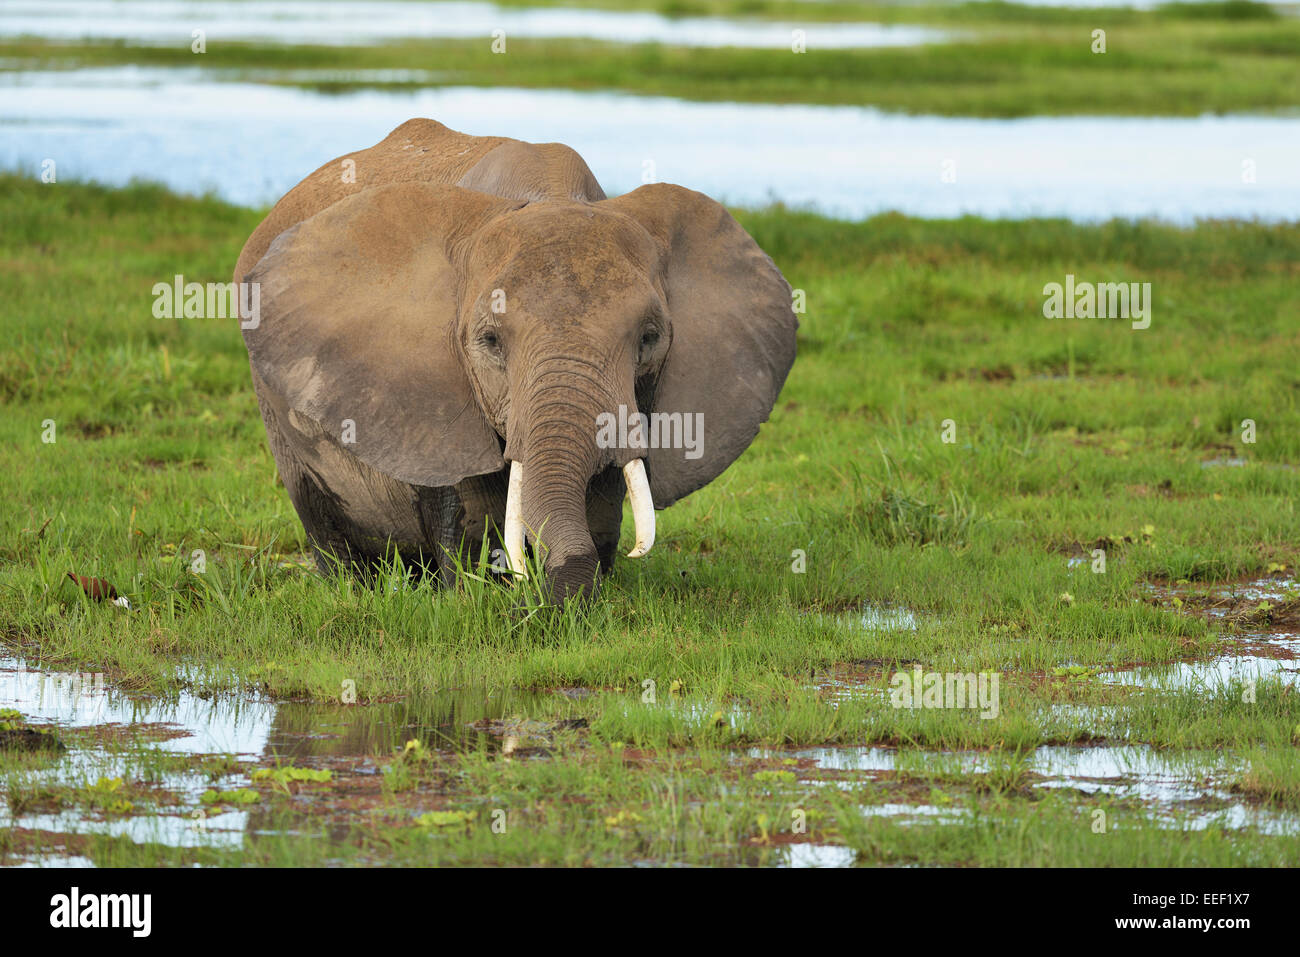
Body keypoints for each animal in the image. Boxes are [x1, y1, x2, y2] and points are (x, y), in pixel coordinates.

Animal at [233, 119, 797, 603]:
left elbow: (603, 503)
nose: (539, 583)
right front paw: (478, 595)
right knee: (326, 528)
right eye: (489, 341)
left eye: (649, 338)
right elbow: (469, 511)